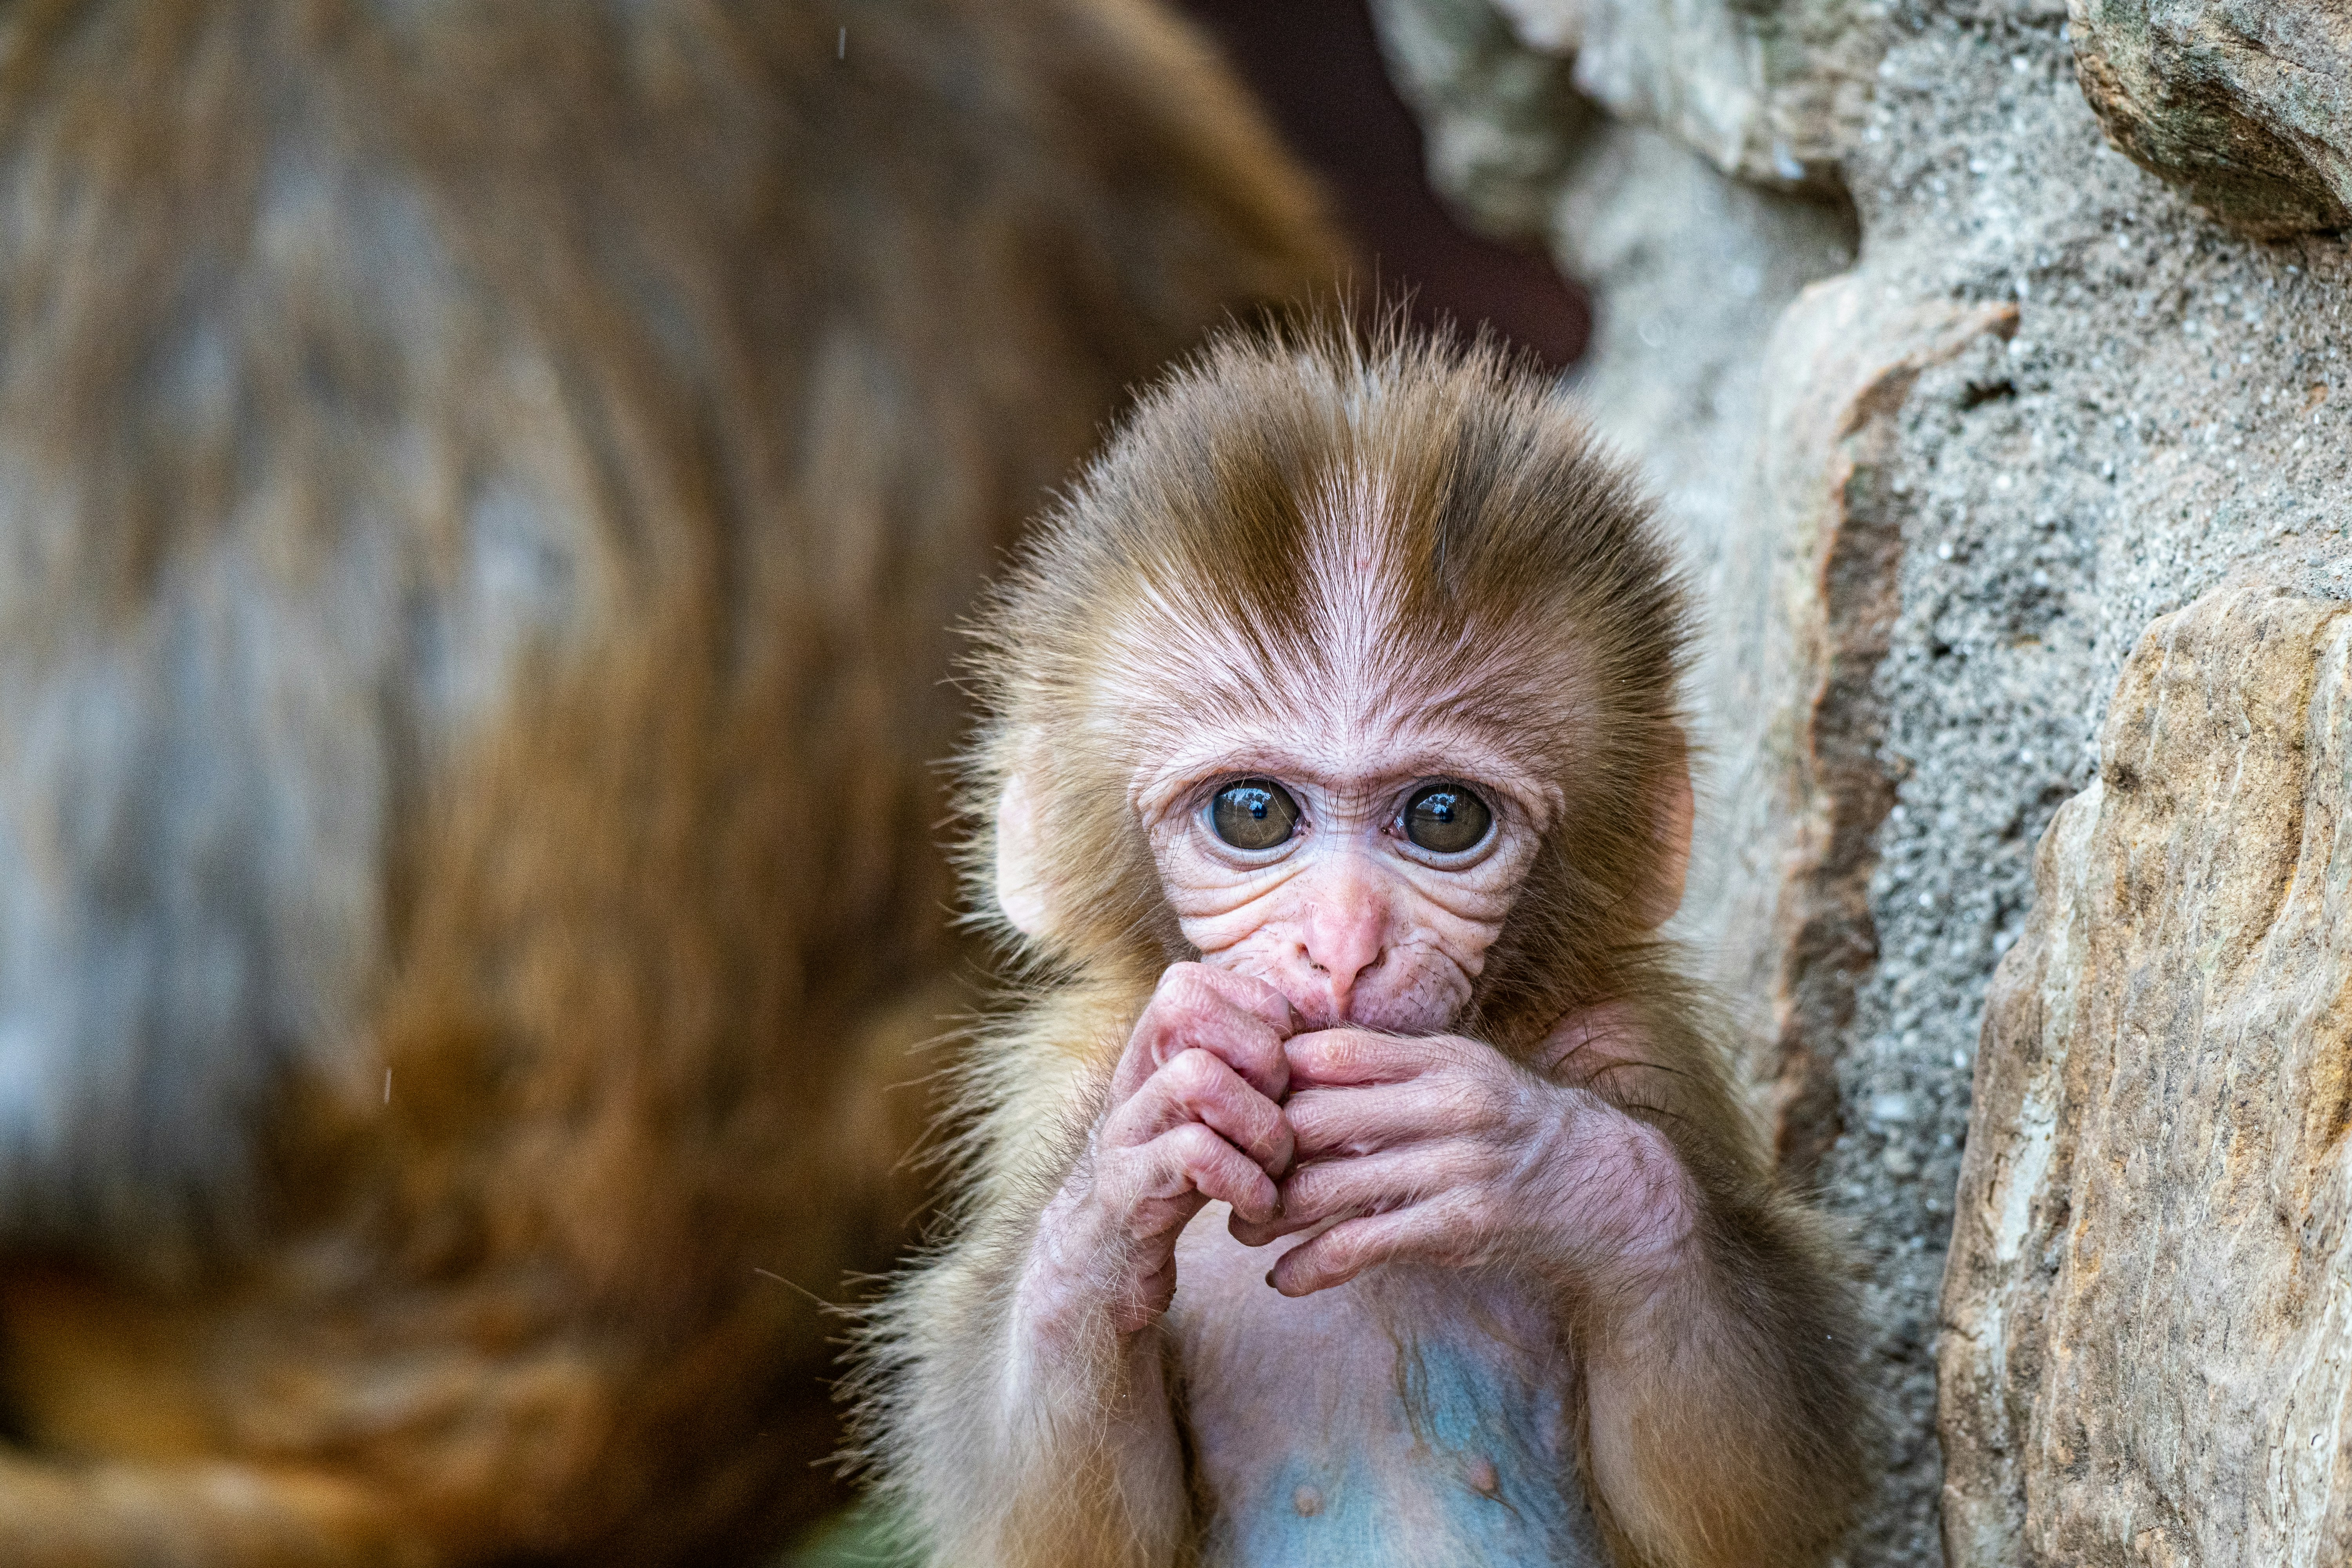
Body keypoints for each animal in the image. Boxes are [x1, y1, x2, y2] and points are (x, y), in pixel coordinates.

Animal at [854, 322, 1872, 1568]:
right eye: (1252, 813)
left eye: (1444, 817)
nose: (1343, 949)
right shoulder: (1060, 1077)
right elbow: (1056, 1524)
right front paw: (1132, 1158)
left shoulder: (1637, 1045)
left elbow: (1735, 1492)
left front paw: (1539, 1158)